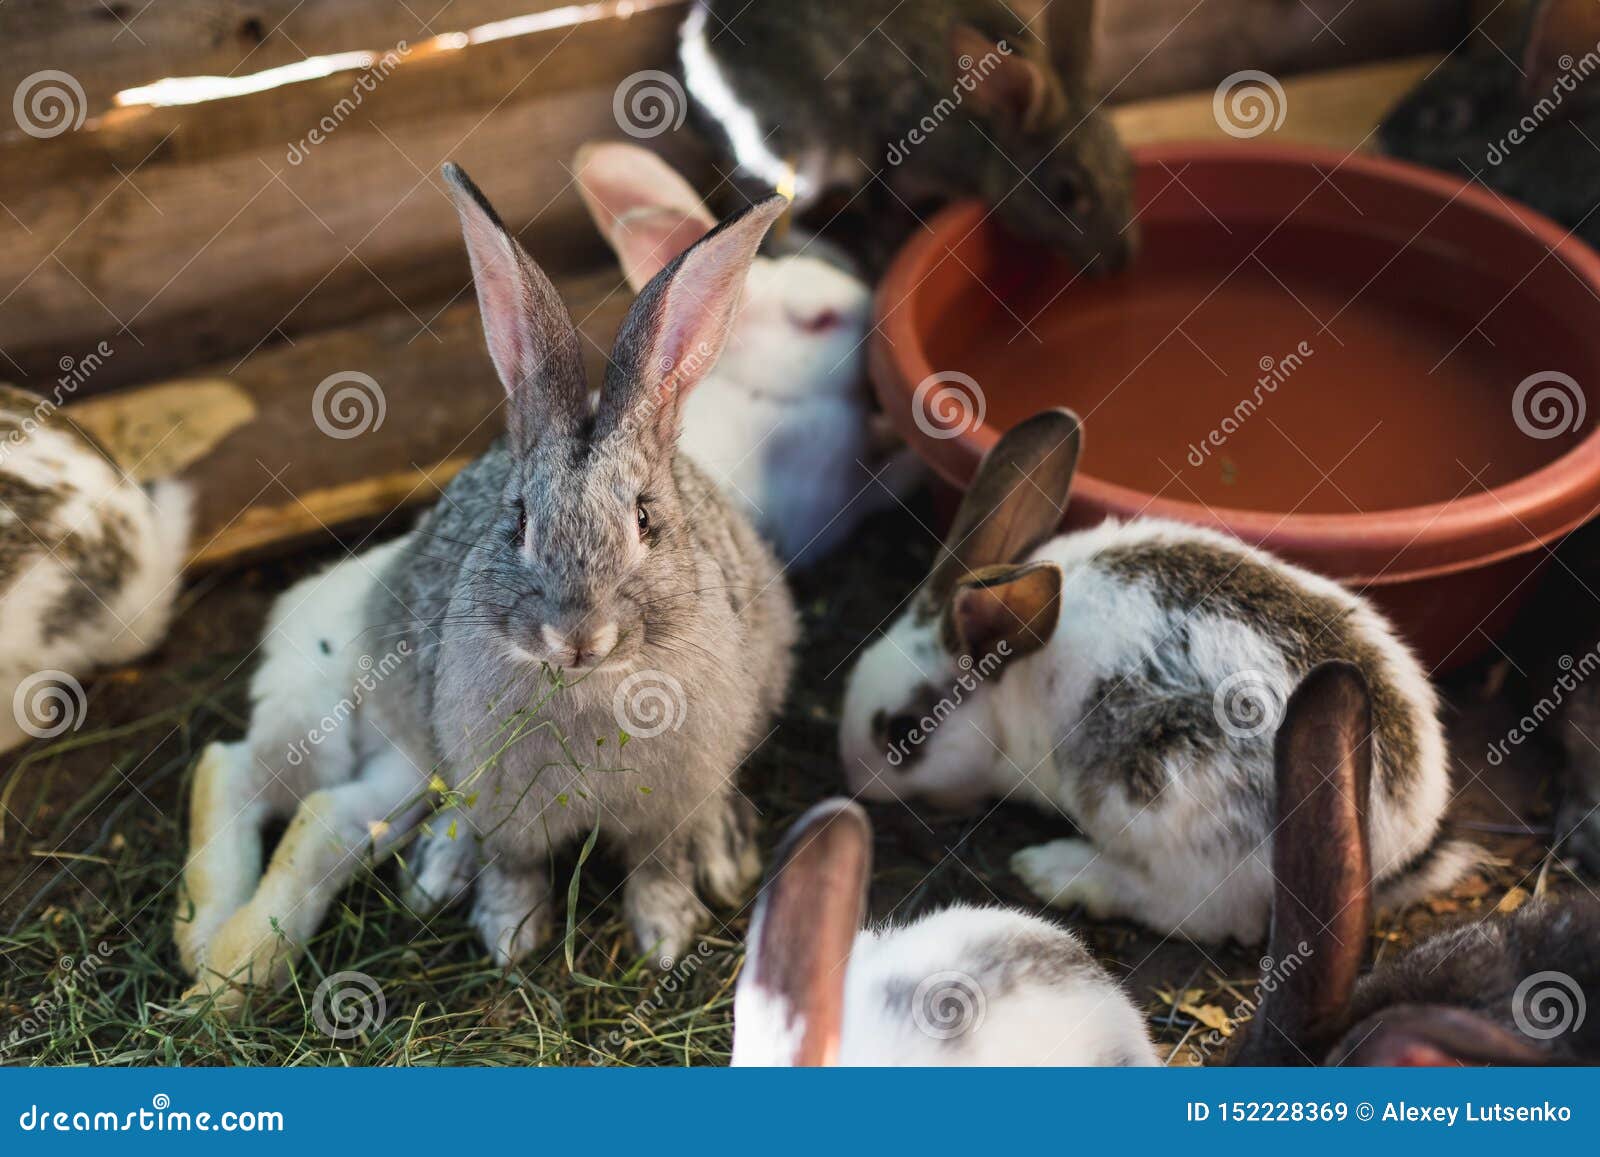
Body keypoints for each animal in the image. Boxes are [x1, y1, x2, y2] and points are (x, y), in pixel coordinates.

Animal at [177, 164, 799, 1003]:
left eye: (644, 517)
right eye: (519, 519)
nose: (576, 637)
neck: (591, 686)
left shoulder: (667, 804)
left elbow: (656, 867)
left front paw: (665, 937)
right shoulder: (500, 797)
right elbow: (516, 863)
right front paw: (507, 935)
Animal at [573, 142, 921, 568]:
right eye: (818, 321)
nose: (875, 306)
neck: (765, 392)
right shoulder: (824, 510)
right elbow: (875, 494)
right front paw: (912, 465)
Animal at [679, 0, 1136, 274]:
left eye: (1128, 165)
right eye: (1067, 191)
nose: (1124, 262)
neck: (986, 136)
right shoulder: (891, 158)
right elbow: (884, 219)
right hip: (800, 165)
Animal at [839, 408, 1474, 946]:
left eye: (902, 733)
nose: (858, 784)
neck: (1015, 671)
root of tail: (1398, 843)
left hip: (1163, 796)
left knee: (1198, 912)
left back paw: (1059, 871)